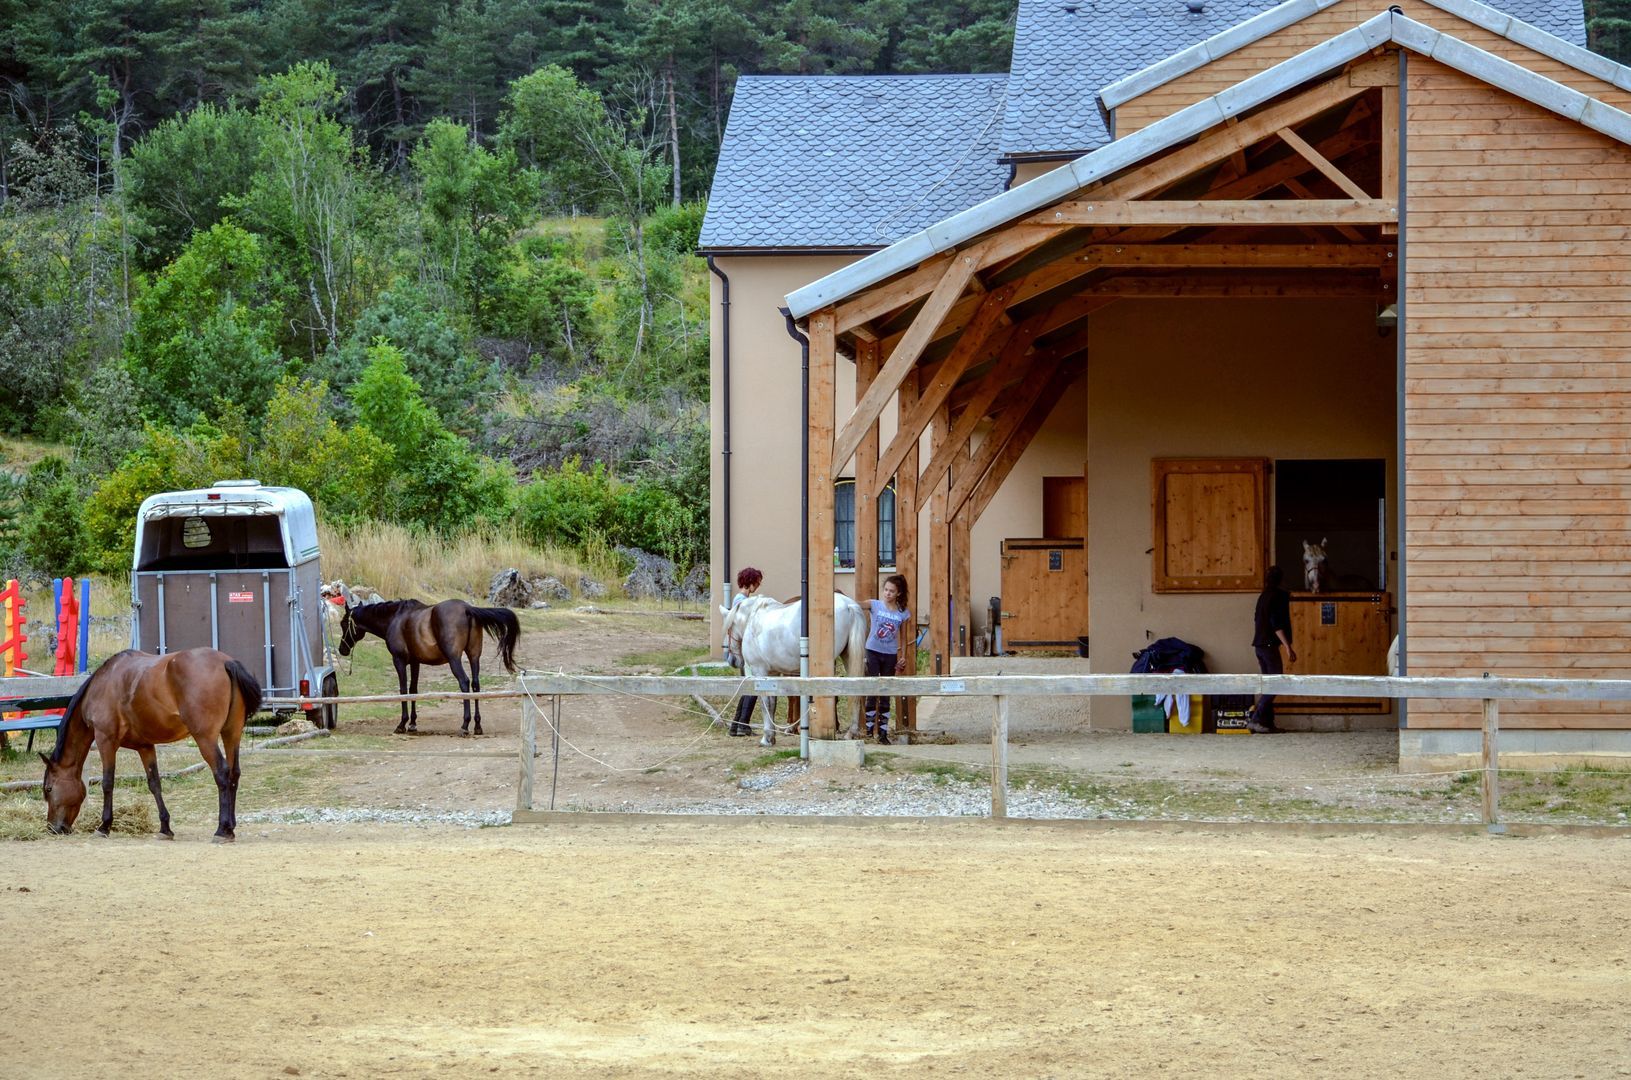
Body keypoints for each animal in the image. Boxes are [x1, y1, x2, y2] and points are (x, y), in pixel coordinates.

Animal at [40, 648, 262, 842]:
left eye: (49, 789)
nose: (53, 828)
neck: (103, 683)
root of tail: (225, 662)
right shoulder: (145, 746)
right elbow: (154, 783)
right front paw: (165, 828)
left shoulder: (105, 741)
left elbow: (107, 783)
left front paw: (104, 826)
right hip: (231, 734)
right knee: (234, 773)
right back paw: (231, 828)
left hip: (205, 738)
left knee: (222, 772)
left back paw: (222, 830)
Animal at [338, 599, 520, 736]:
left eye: (343, 623)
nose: (342, 650)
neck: (395, 618)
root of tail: (467, 609)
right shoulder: (415, 662)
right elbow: (413, 690)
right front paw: (412, 724)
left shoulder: (399, 661)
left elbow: (403, 690)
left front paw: (402, 724)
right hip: (474, 656)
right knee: (476, 685)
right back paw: (477, 726)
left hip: (454, 659)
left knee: (464, 682)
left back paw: (464, 725)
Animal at [718, 593, 869, 746]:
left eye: (728, 628)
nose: (732, 660)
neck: (753, 618)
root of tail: (848, 604)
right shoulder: (772, 675)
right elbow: (772, 703)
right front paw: (772, 737)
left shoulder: (759, 672)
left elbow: (765, 704)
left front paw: (766, 737)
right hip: (849, 658)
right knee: (856, 694)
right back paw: (851, 733)